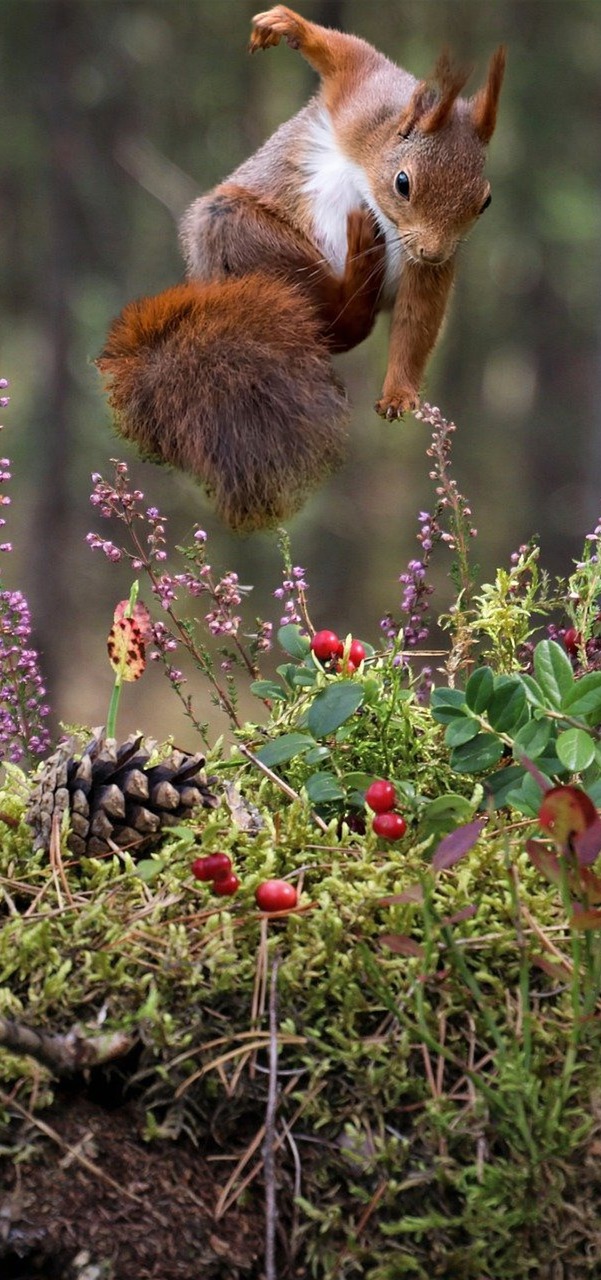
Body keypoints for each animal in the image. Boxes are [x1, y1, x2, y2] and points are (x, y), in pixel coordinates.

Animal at [97, 5, 505, 532]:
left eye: (485, 201)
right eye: (403, 183)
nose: (434, 252)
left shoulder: (422, 264)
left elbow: (418, 321)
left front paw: (399, 393)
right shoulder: (362, 98)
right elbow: (347, 53)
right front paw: (287, 25)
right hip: (236, 231)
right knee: (335, 319)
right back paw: (355, 270)